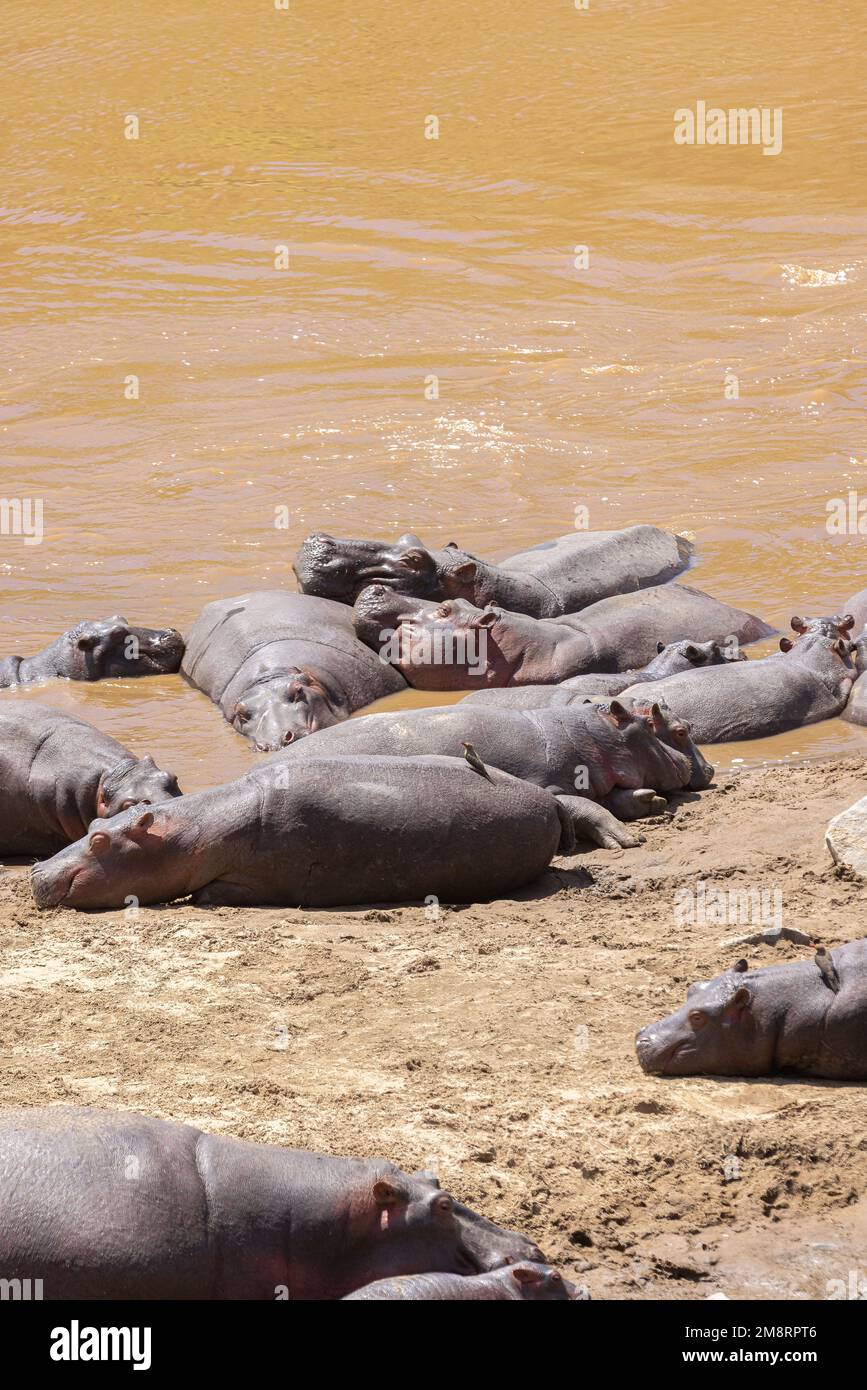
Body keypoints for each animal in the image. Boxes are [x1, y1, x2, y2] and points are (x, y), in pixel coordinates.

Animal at [275, 698, 712, 847]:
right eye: (680, 730)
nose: (707, 768)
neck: (595, 735)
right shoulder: (548, 782)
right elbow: (584, 806)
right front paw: (627, 838)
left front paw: (649, 800)